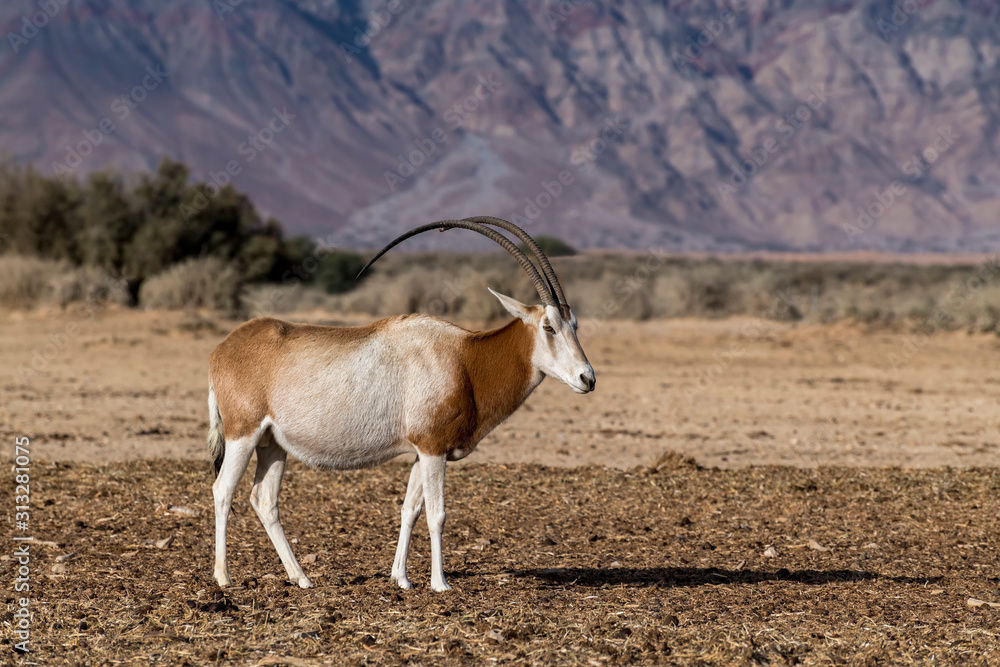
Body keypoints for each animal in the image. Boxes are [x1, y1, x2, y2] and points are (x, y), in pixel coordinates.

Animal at [207, 216, 595, 592]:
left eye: (574, 324)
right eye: (548, 326)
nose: (587, 378)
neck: (465, 359)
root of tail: (221, 350)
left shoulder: (423, 452)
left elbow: (410, 509)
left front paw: (401, 578)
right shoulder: (433, 450)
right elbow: (437, 514)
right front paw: (440, 583)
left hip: (272, 444)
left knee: (264, 500)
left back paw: (300, 577)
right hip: (243, 434)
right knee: (223, 490)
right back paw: (224, 577)